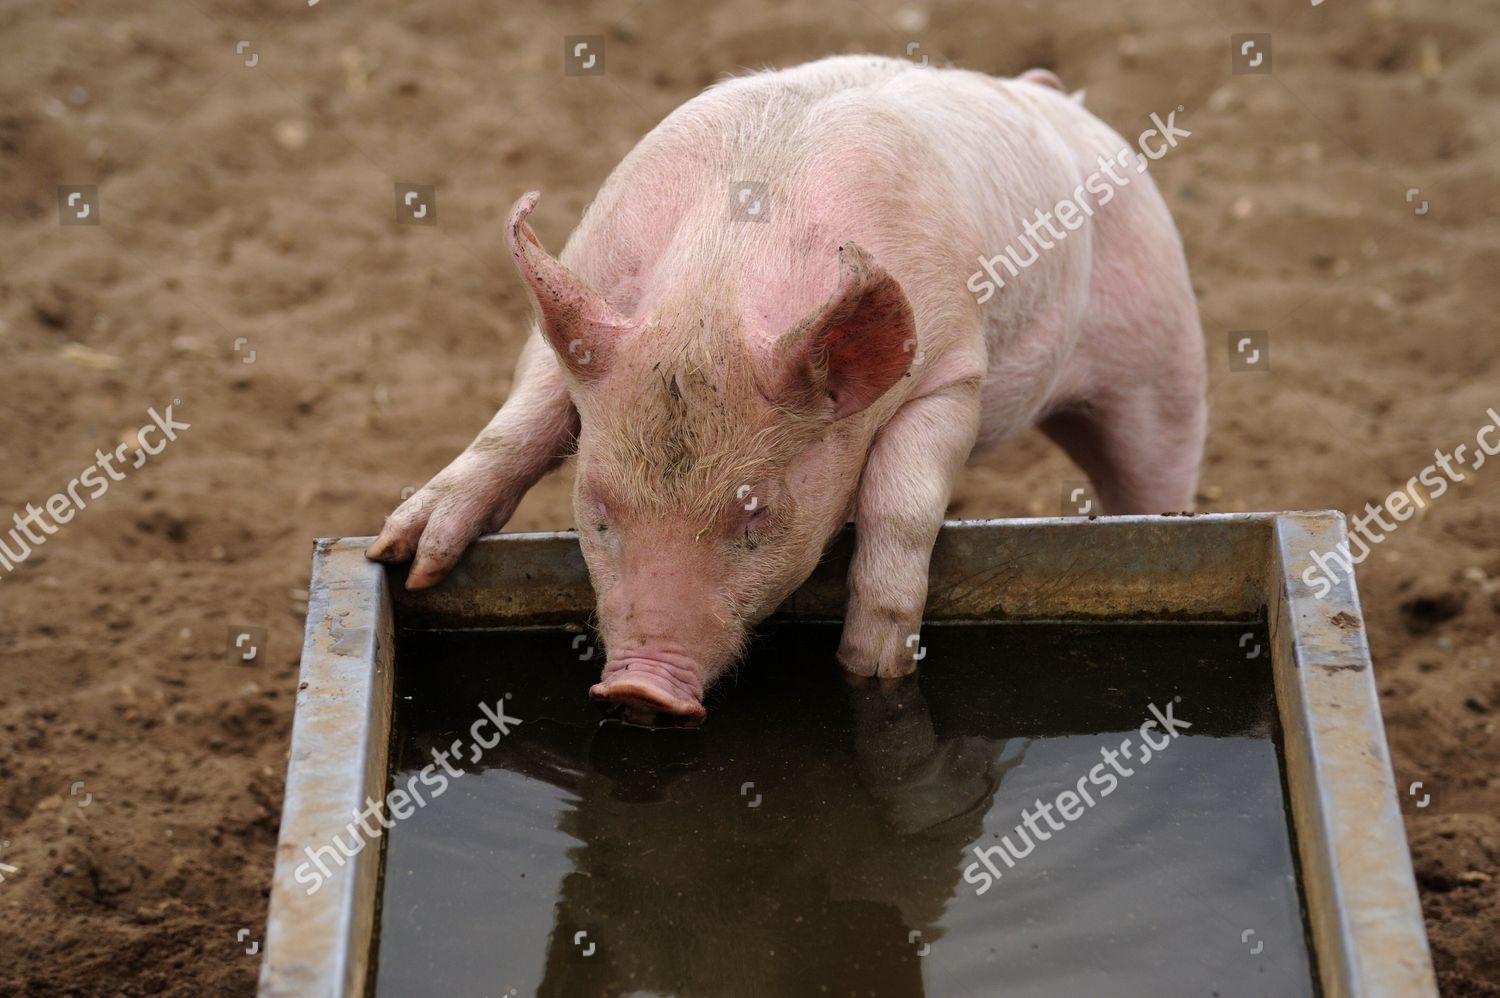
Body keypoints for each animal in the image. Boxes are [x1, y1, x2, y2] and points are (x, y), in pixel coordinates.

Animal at [367, 55, 1207, 725]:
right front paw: (405, 558)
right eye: (598, 509)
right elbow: (513, 428)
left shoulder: (952, 369)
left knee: (1155, 460)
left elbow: (901, 500)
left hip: (1163, 350)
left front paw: (871, 669)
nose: (639, 691)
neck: (718, 286)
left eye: (757, 515)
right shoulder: (573, 324)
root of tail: (1050, 93)